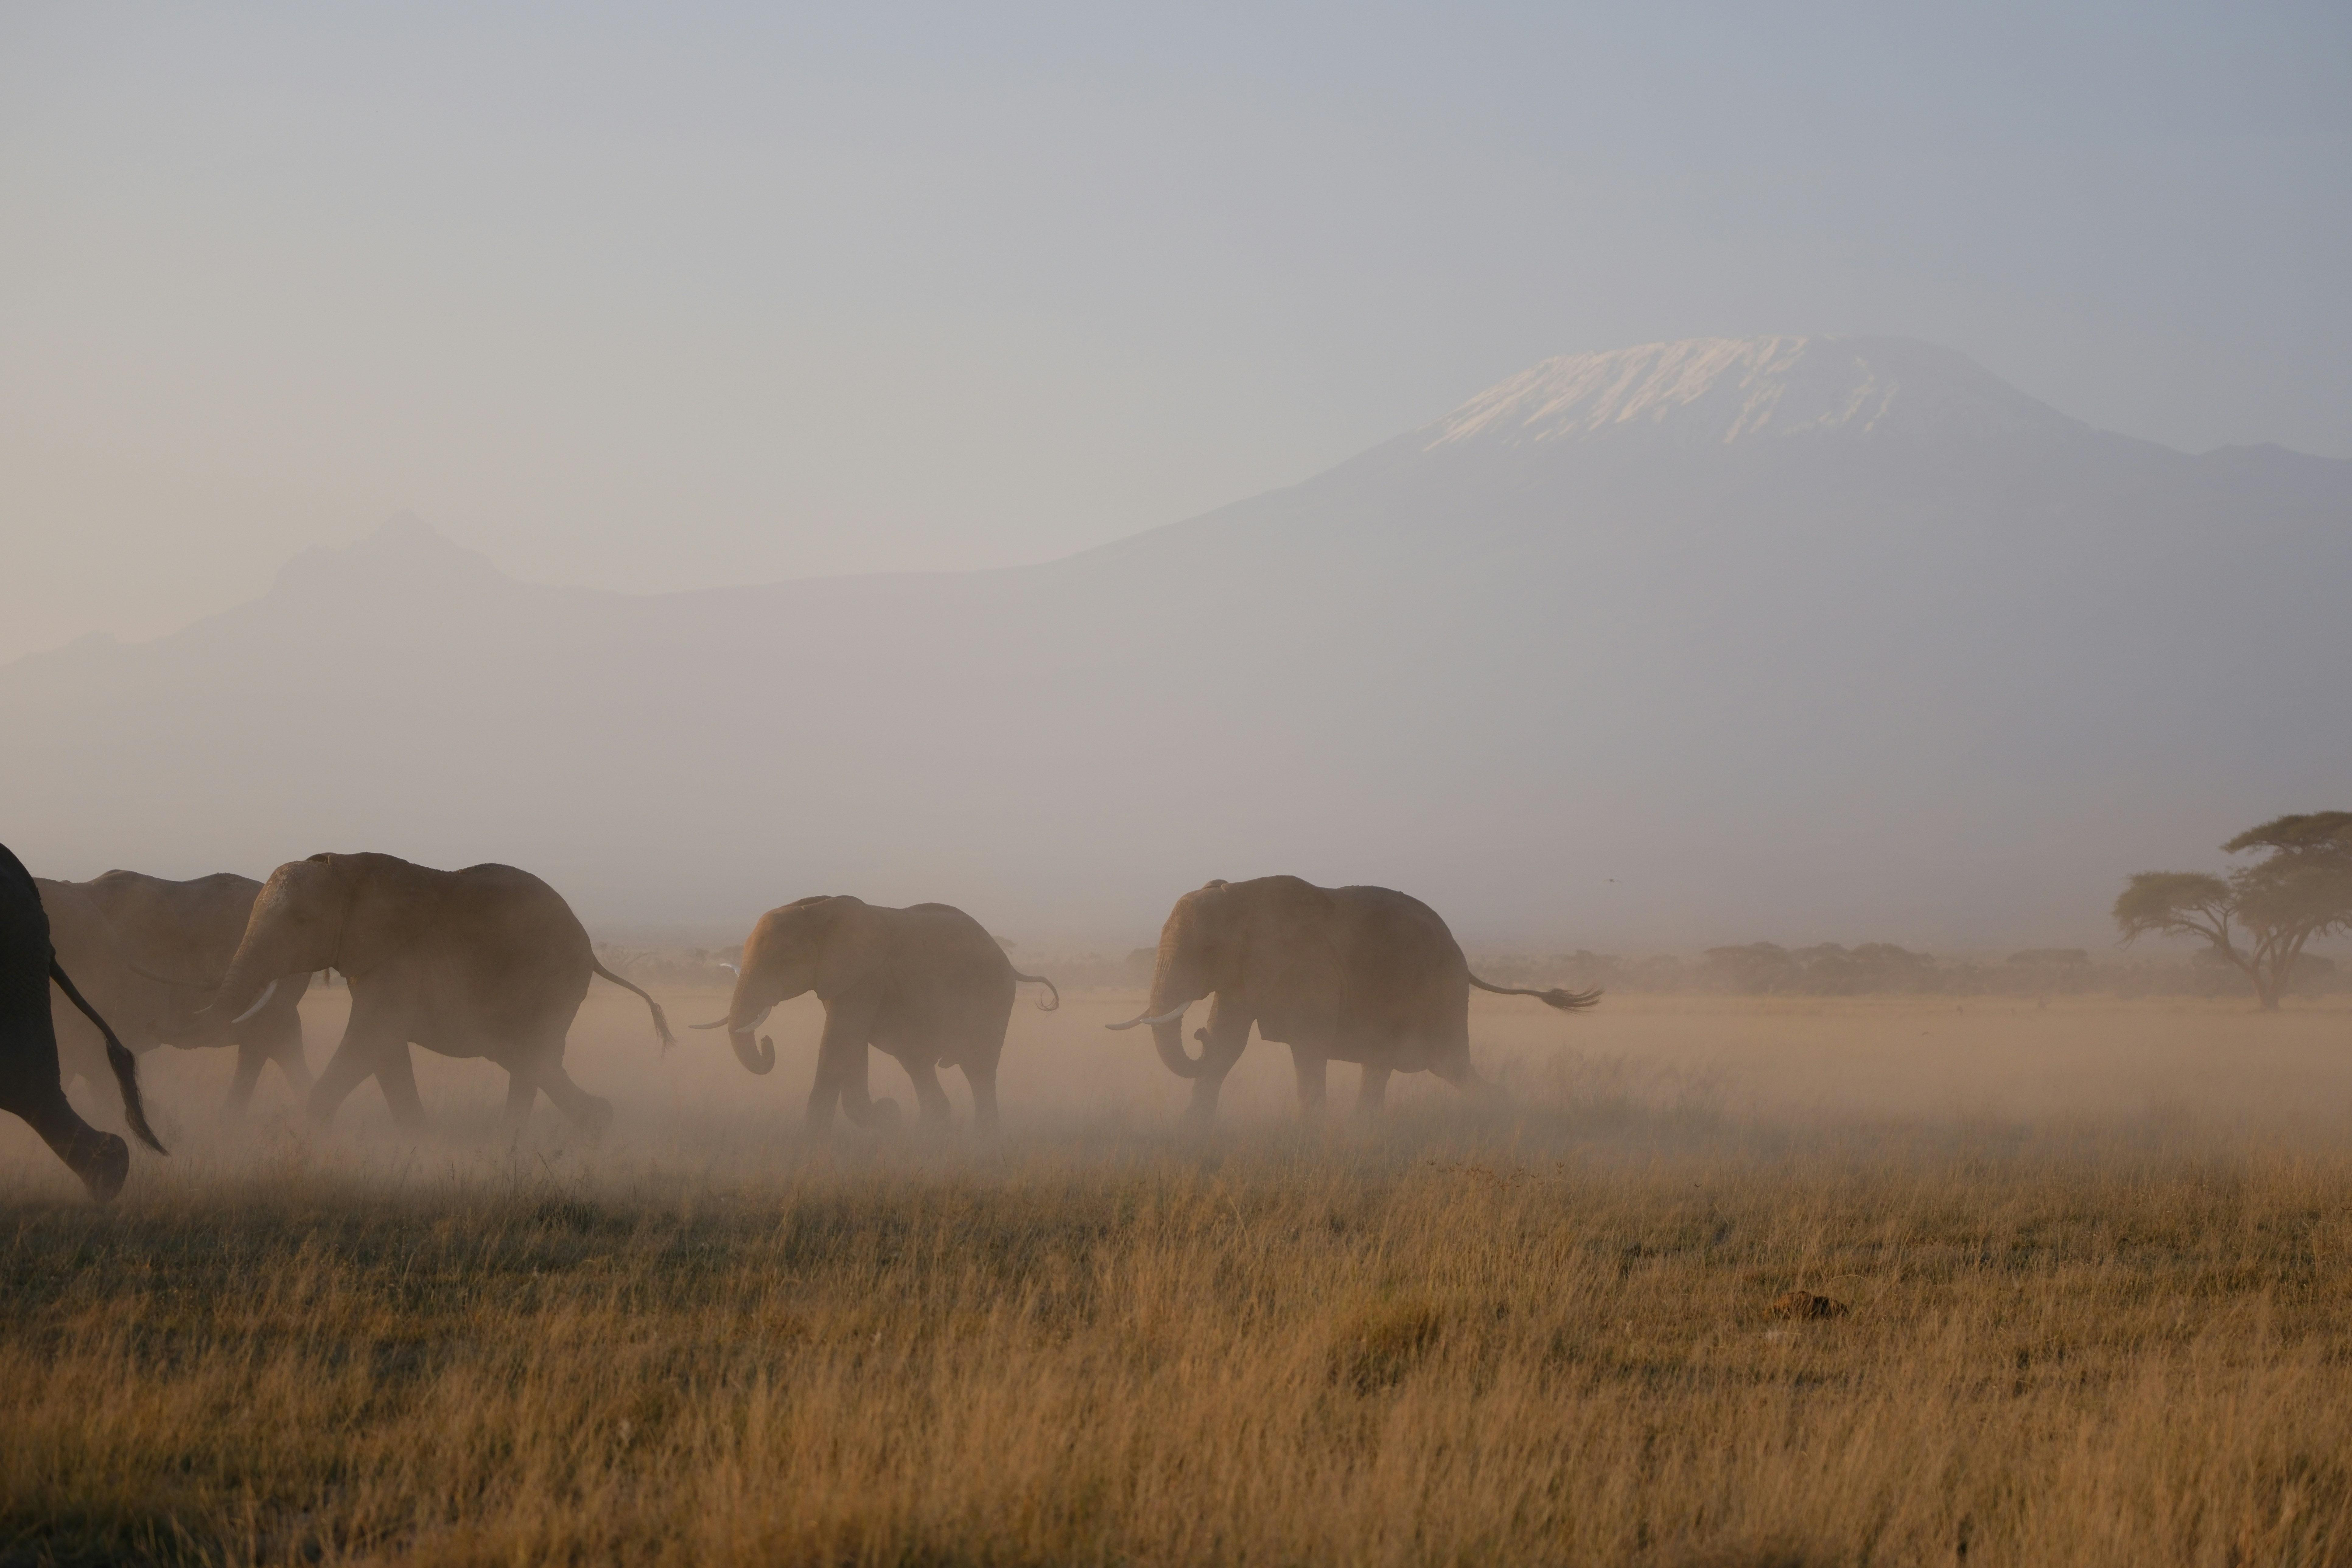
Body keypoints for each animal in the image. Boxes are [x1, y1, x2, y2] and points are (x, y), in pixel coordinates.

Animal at [203, 852, 672, 1134]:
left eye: (301, 921)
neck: (345, 868)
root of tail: (591, 949)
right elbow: (385, 1050)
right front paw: (420, 1140)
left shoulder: (397, 960)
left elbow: (371, 1039)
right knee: (526, 1056)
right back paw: (588, 1122)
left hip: (553, 977)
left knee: (532, 1055)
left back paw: (526, 1137)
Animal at [693, 896, 1059, 1135]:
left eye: (781, 962)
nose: (768, 1042)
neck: (817, 910)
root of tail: (1010, 963)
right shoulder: (843, 979)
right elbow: (850, 1048)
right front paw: (888, 1118)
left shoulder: (865, 976)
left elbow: (838, 1043)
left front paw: (814, 1143)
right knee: (918, 1064)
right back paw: (931, 1132)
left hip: (992, 996)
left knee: (979, 1069)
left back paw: (983, 1137)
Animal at [1107, 877, 1600, 1124]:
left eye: (1206, 951)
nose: (1196, 1033)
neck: (1240, 895)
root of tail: (1462, 955)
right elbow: (1230, 1042)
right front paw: (1192, 1127)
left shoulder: (1308, 969)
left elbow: (1307, 1046)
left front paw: (1310, 1129)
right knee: (1391, 1064)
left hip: (1441, 990)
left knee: (1447, 1064)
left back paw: (1501, 1110)